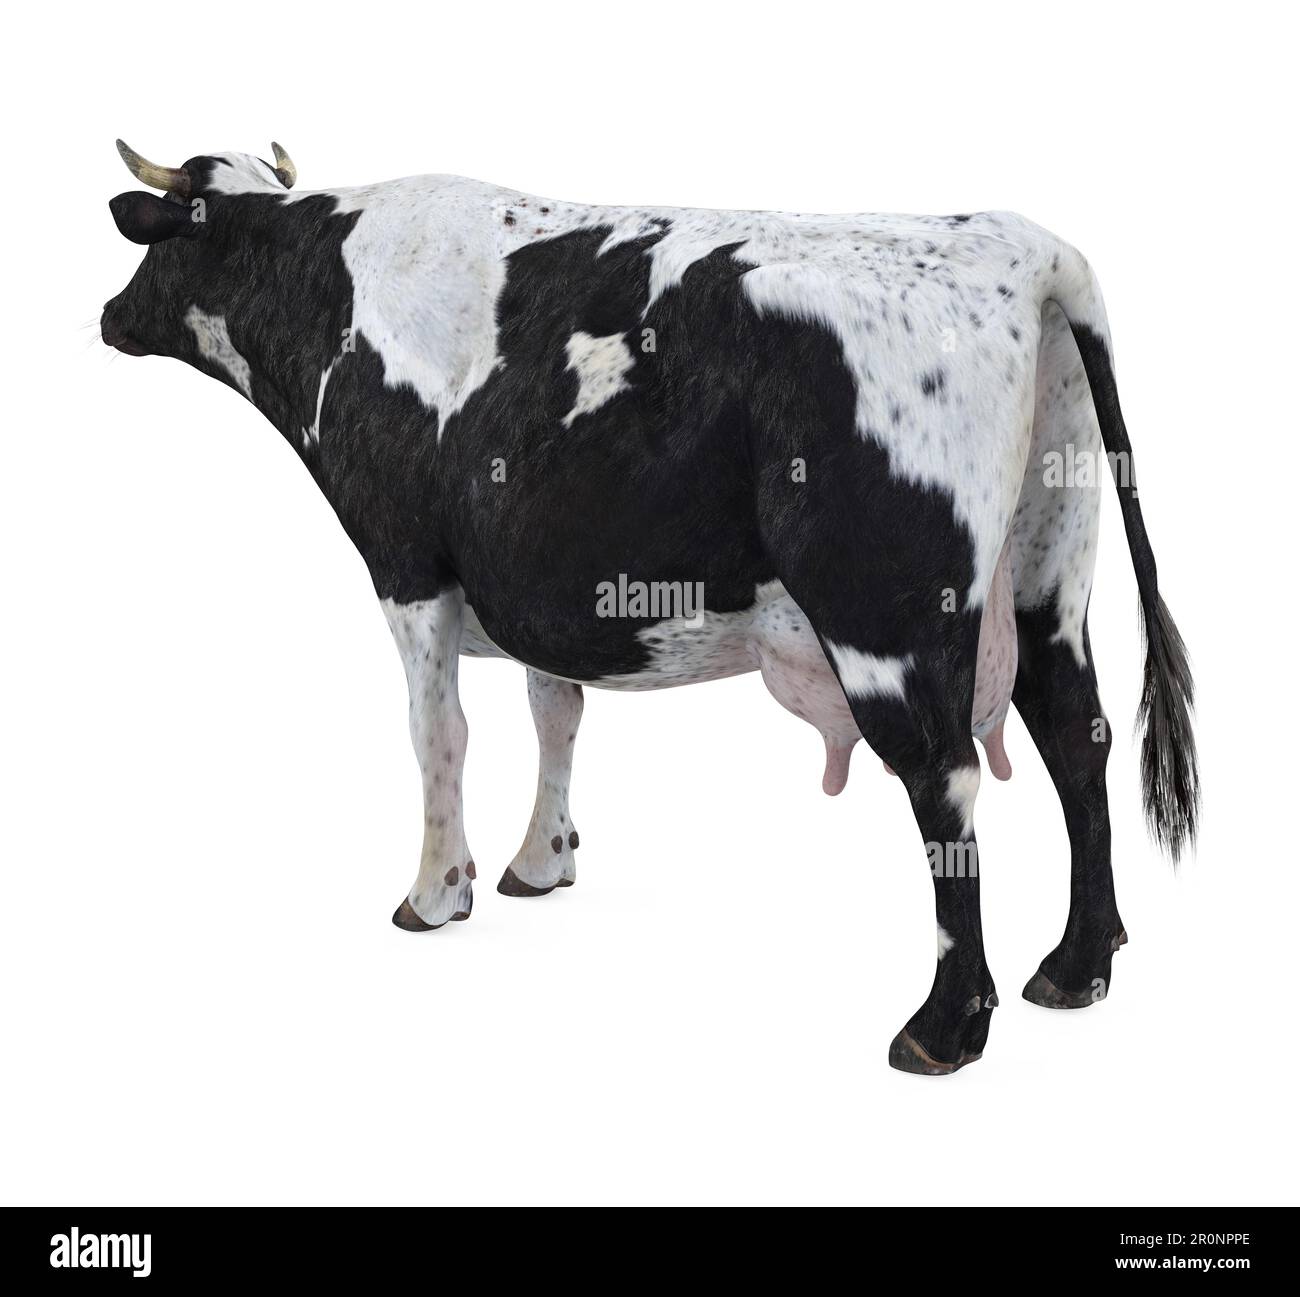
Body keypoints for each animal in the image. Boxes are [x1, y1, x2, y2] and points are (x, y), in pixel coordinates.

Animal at [101, 141, 1199, 1074]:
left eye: (159, 236)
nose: (110, 315)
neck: (332, 286)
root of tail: (1026, 249)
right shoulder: (534, 576)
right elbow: (556, 712)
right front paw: (540, 862)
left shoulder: (406, 561)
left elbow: (437, 731)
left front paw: (436, 890)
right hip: (1047, 575)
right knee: (1076, 737)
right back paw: (1077, 966)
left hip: (886, 617)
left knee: (948, 781)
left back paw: (944, 1025)